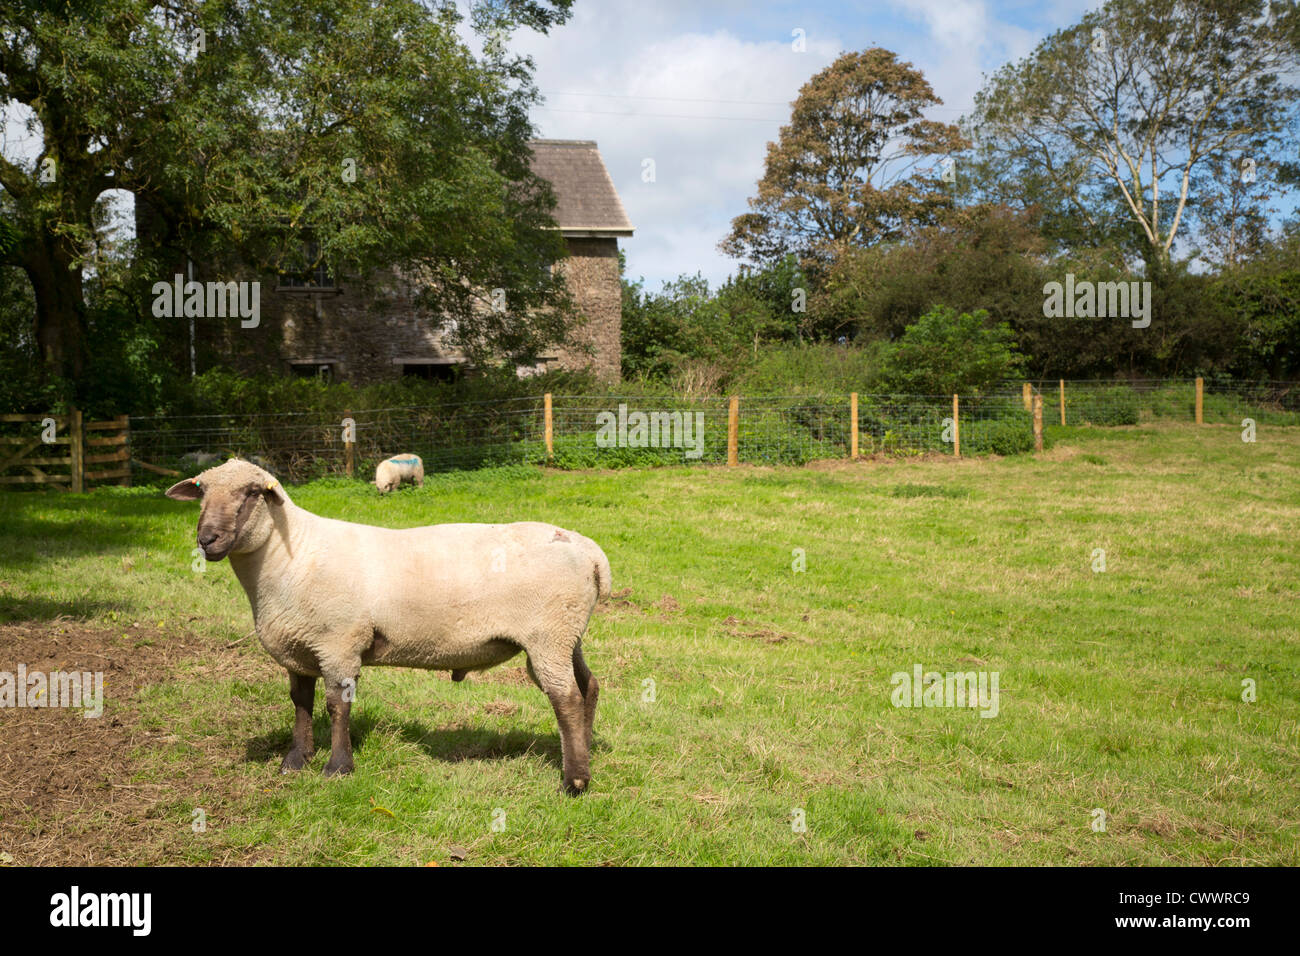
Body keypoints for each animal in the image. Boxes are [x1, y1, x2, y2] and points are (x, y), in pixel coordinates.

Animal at [166, 458, 609, 794]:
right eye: (201, 491)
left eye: (252, 493)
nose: (207, 539)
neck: (290, 554)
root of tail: (589, 550)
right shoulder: (298, 648)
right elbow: (300, 703)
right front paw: (296, 760)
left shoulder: (339, 642)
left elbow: (337, 706)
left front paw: (338, 767)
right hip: (567, 634)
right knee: (588, 687)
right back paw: (583, 752)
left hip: (548, 634)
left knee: (566, 698)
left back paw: (575, 781)